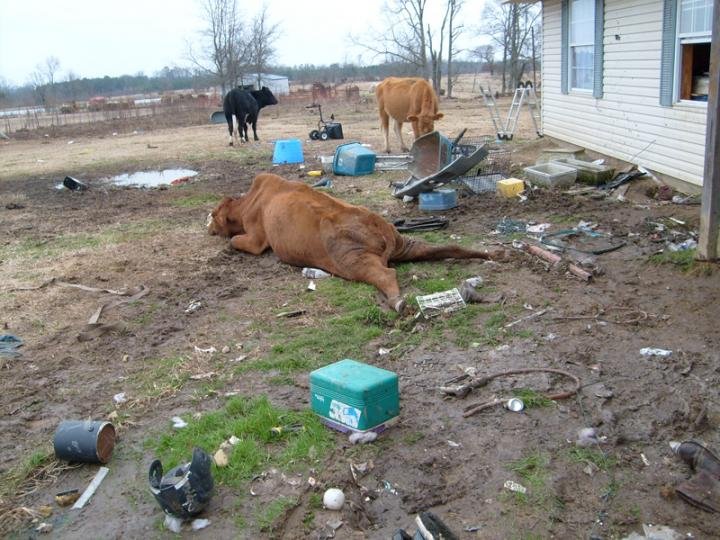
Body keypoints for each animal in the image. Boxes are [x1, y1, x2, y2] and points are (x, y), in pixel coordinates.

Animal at [208, 173, 505, 312]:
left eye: (213, 215)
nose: (209, 228)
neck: (247, 202)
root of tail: (379, 228)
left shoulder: (256, 238)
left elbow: (235, 241)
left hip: (351, 260)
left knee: (386, 274)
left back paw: (398, 303)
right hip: (405, 244)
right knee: (448, 248)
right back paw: (495, 254)